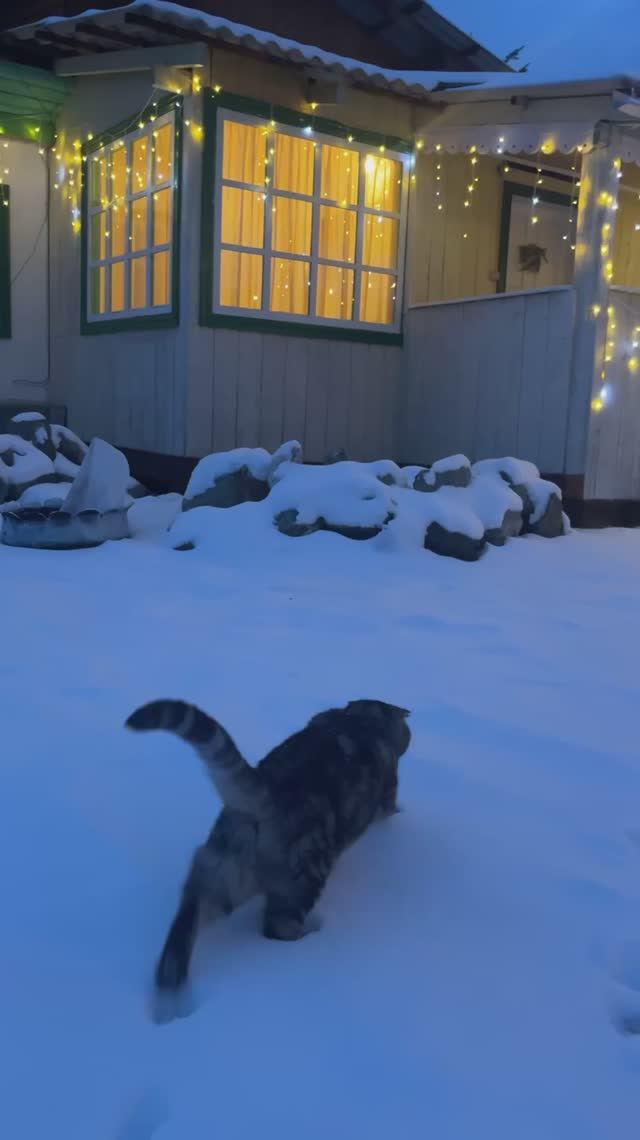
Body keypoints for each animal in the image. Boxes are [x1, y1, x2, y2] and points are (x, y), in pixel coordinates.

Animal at [125, 698, 410, 993]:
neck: (358, 719)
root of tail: (266, 790)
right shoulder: (388, 793)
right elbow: (389, 811)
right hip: (302, 877)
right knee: (278, 928)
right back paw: (308, 939)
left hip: (223, 870)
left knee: (188, 915)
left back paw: (171, 979)